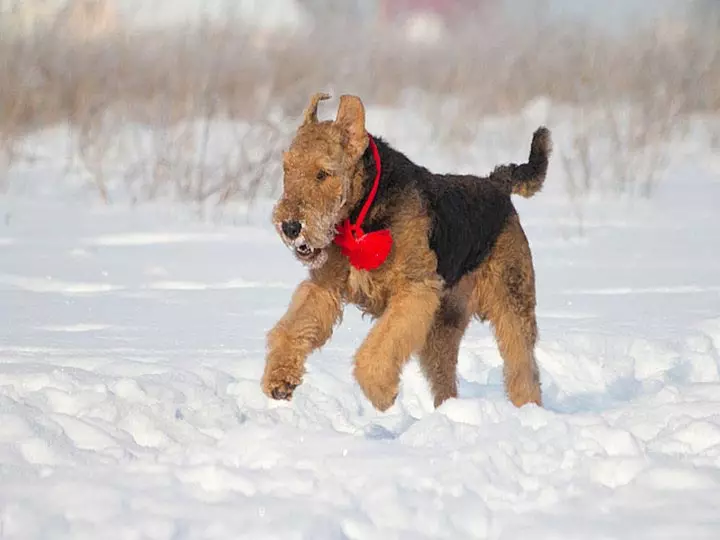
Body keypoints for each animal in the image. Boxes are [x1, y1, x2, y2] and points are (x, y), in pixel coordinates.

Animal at [264, 94, 552, 414]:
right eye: (287, 168)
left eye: (323, 173)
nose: (290, 227)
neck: (363, 214)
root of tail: (497, 184)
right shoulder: (324, 287)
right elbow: (293, 327)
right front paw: (279, 379)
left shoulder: (414, 291)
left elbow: (378, 348)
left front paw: (381, 392)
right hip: (444, 322)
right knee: (445, 375)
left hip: (511, 300)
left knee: (523, 367)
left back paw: (528, 410)